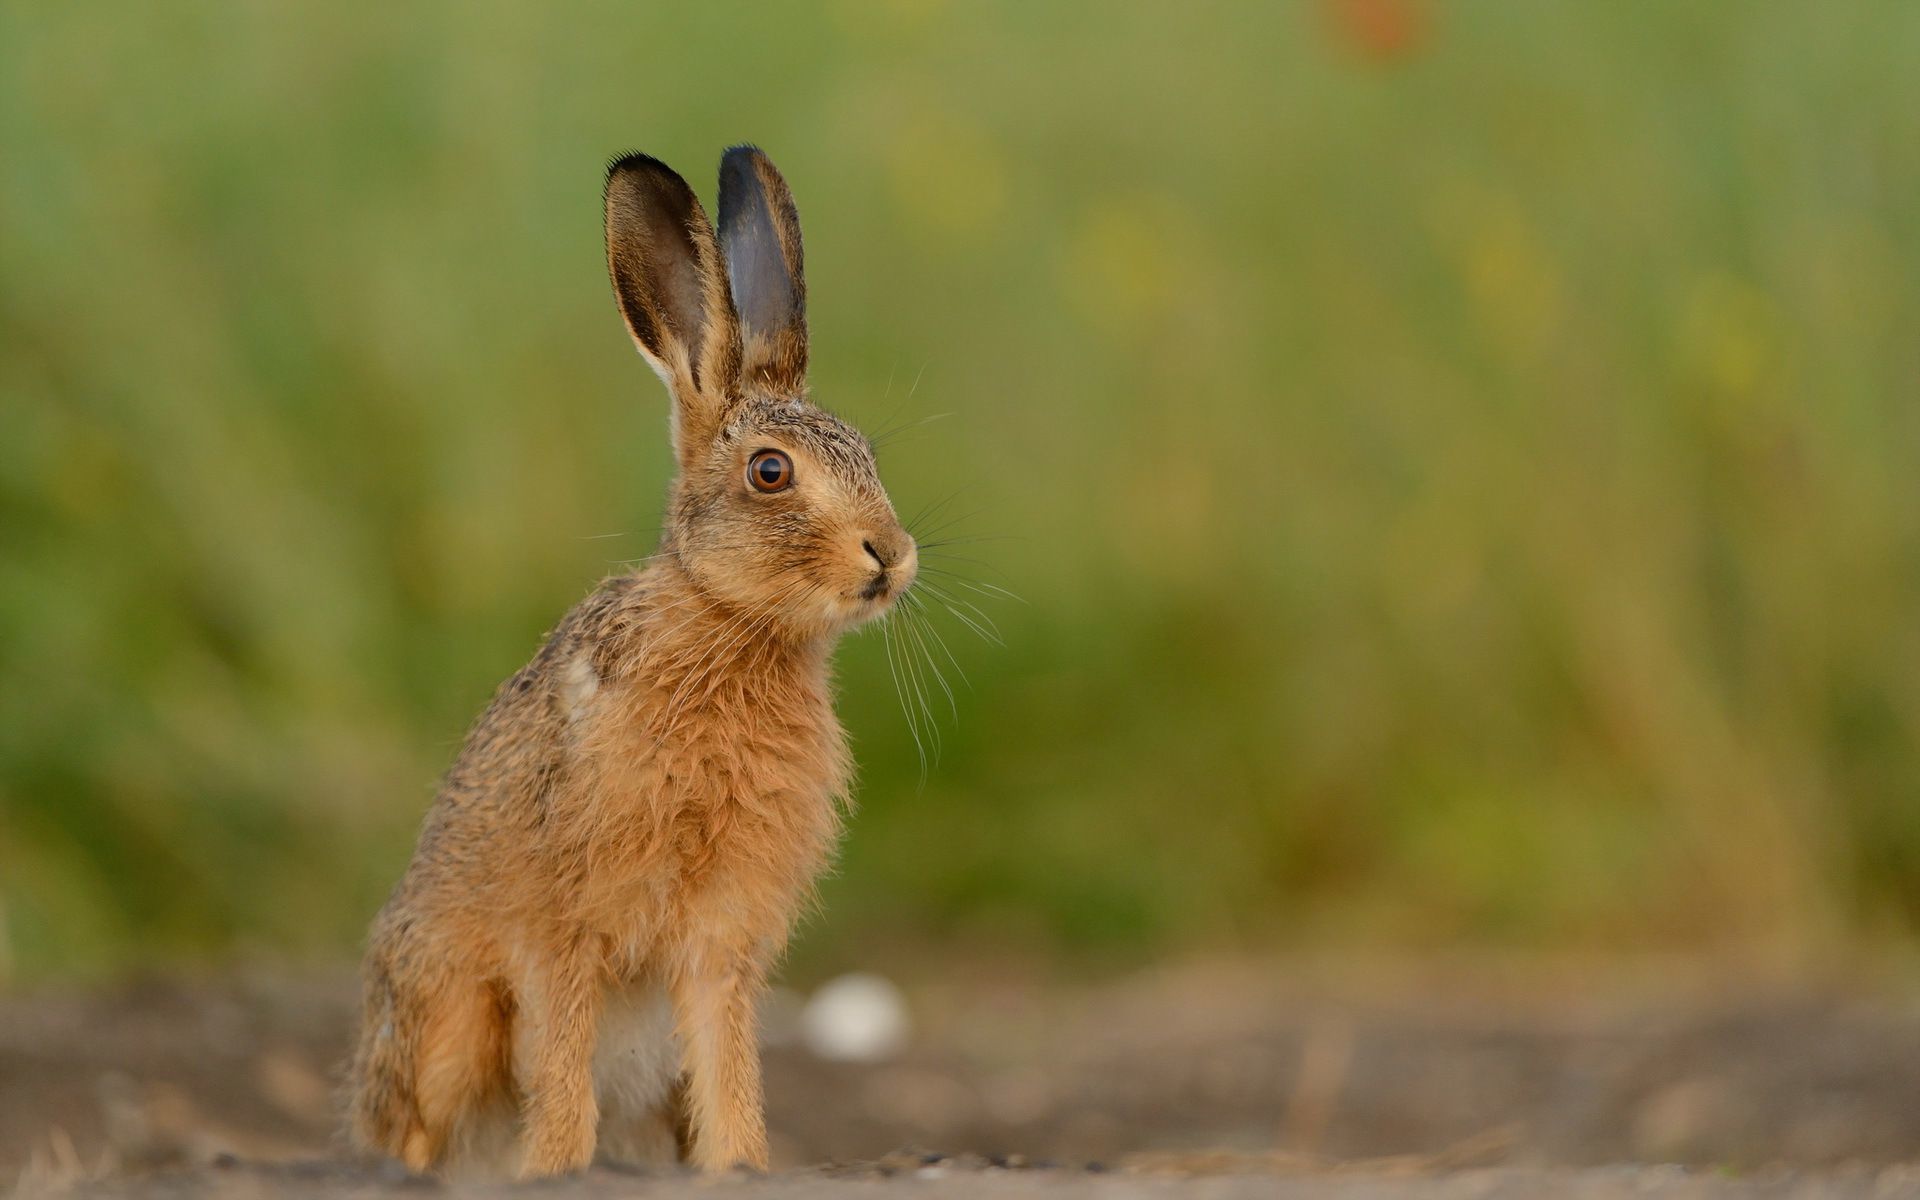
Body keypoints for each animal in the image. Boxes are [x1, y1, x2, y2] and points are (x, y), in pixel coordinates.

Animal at [347, 145, 917, 1179]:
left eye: (867, 454)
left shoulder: (720, 943)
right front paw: (558, 1167)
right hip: (448, 1022)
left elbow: (729, 1067)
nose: (892, 557)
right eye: (770, 472)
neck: (729, 631)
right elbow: (563, 1069)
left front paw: (742, 1165)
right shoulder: (564, 930)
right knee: (416, 1120)